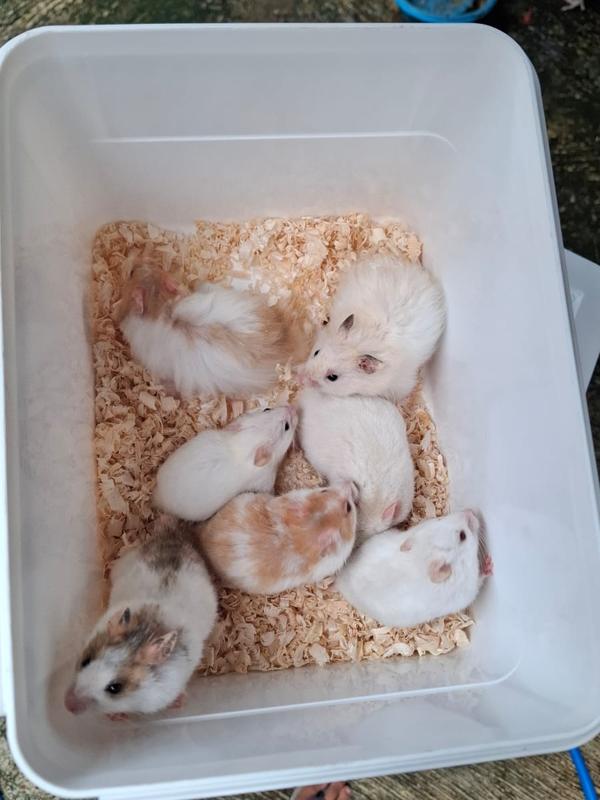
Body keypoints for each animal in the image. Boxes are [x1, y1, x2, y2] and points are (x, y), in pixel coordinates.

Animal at [154, 405, 297, 521]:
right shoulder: (265, 482)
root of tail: (158, 499)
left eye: (267, 408)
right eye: (287, 426)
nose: (292, 406)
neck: (243, 447)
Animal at [335, 510, 492, 628]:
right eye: (462, 536)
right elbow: (480, 581)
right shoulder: (468, 589)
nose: (471, 511)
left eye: (440, 518)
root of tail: (341, 577)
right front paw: (489, 563)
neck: (422, 556)